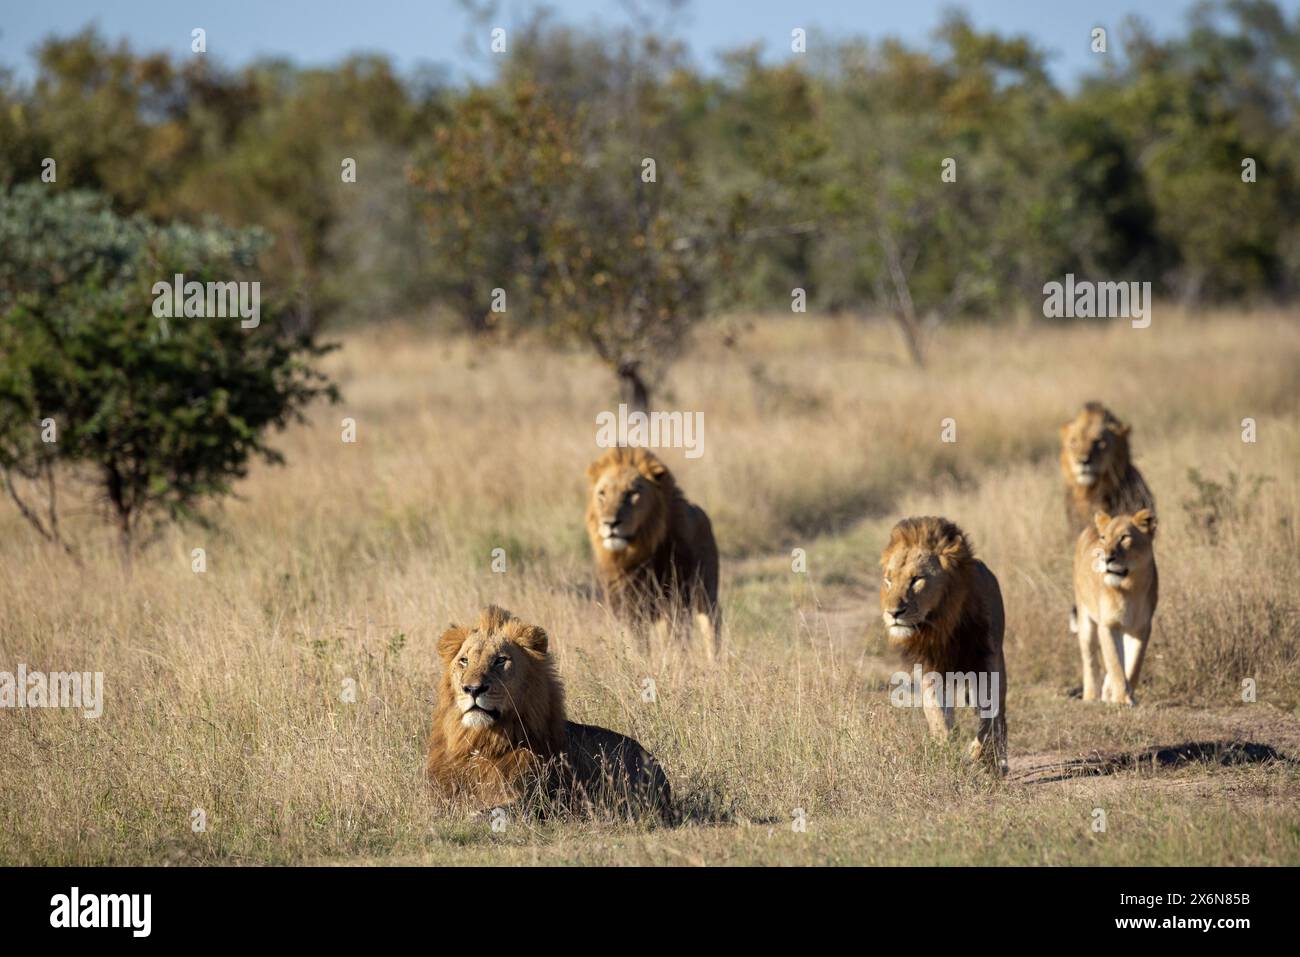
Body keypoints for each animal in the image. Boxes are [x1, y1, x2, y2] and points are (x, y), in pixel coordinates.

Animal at [426, 605, 672, 821]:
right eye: (464, 661)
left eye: (500, 660)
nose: (473, 689)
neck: (483, 742)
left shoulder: (537, 800)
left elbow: (494, 812)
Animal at [585, 447, 720, 658]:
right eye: (602, 494)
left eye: (632, 493)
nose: (610, 523)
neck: (635, 553)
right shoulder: (627, 608)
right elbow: (635, 644)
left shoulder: (673, 602)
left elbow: (674, 641)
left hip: (706, 591)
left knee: (712, 624)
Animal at [879, 517, 1008, 774]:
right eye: (889, 580)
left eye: (916, 579)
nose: (893, 613)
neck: (941, 624)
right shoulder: (929, 668)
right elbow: (938, 715)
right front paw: (948, 752)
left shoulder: (987, 661)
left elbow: (989, 716)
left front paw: (976, 754)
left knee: (1001, 716)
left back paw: (999, 762)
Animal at [1073, 509, 1158, 705]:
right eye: (1104, 538)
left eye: (1124, 537)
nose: (1106, 558)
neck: (1129, 588)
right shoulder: (1108, 625)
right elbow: (1115, 663)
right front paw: (1121, 699)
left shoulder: (1142, 628)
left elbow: (1133, 665)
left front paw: (1120, 694)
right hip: (1085, 618)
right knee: (1089, 660)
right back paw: (1091, 696)